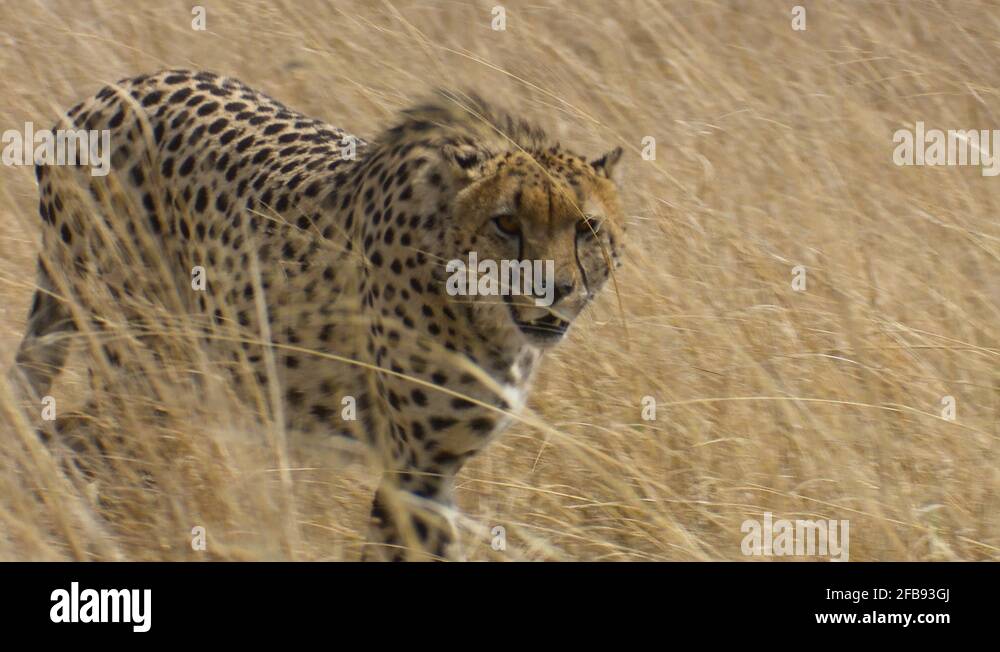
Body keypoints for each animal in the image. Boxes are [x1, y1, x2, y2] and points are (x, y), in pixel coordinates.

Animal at [13, 69, 627, 560]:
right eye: (506, 223)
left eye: (586, 228)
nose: (553, 289)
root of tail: (97, 99)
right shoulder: (415, 466)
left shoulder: (435, 467)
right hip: (153, 371)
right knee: (76, 440)